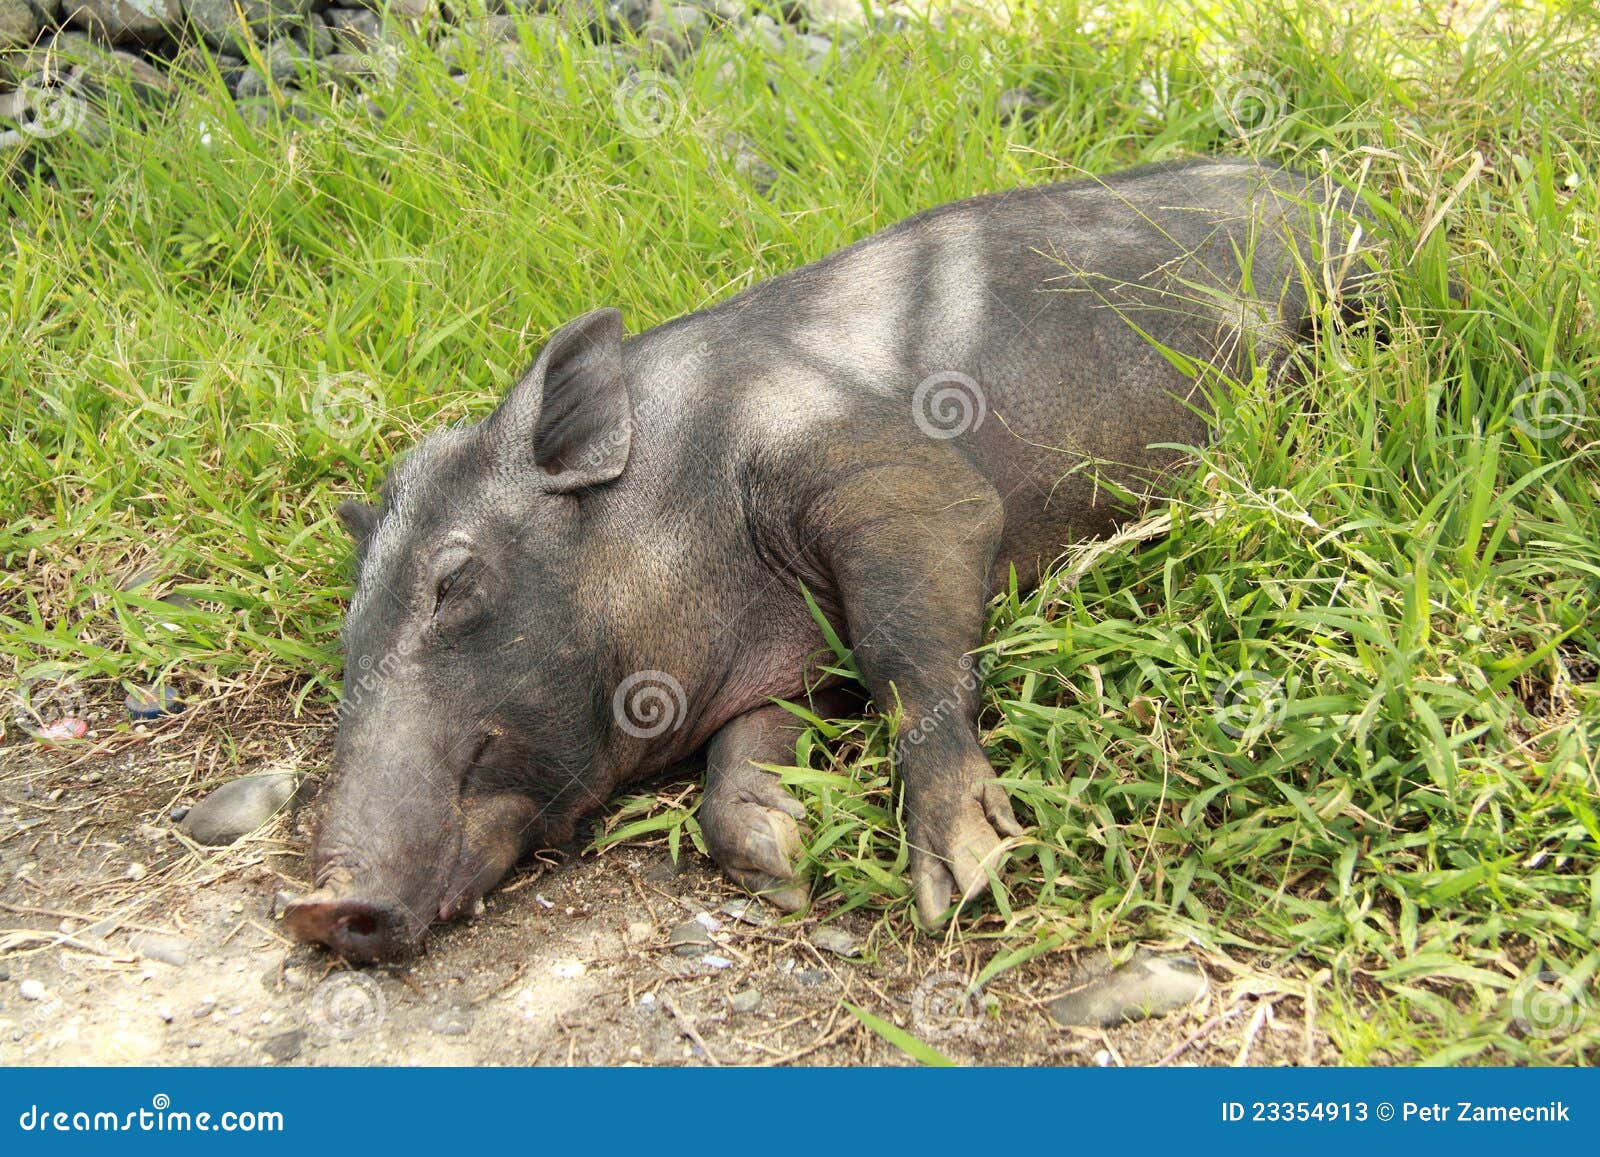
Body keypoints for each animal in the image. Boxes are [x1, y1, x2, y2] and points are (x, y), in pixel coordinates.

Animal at [285, 158, 1380, 961]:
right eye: (346, 636)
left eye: (453, 582)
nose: (314, 908)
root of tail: (1345, 193)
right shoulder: (784, 665)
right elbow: (748, 760)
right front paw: (786, 865)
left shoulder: (890, 476)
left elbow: (902, 647)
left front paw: (965, 881)